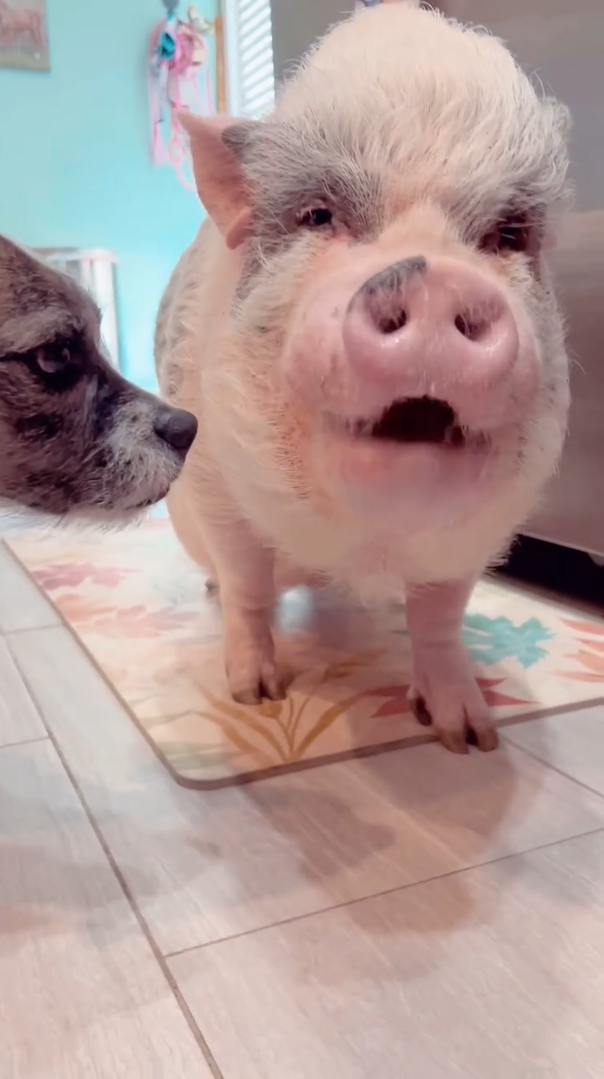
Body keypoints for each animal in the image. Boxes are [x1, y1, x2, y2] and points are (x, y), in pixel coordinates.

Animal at [155, 1, 571, 753]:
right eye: (319, 215)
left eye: (507, 234)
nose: (435, 278)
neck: (362, 546)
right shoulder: (213, 483)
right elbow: (247, 582)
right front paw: (256, 696)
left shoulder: (475, 536)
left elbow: (439, 619)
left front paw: (470, 737)